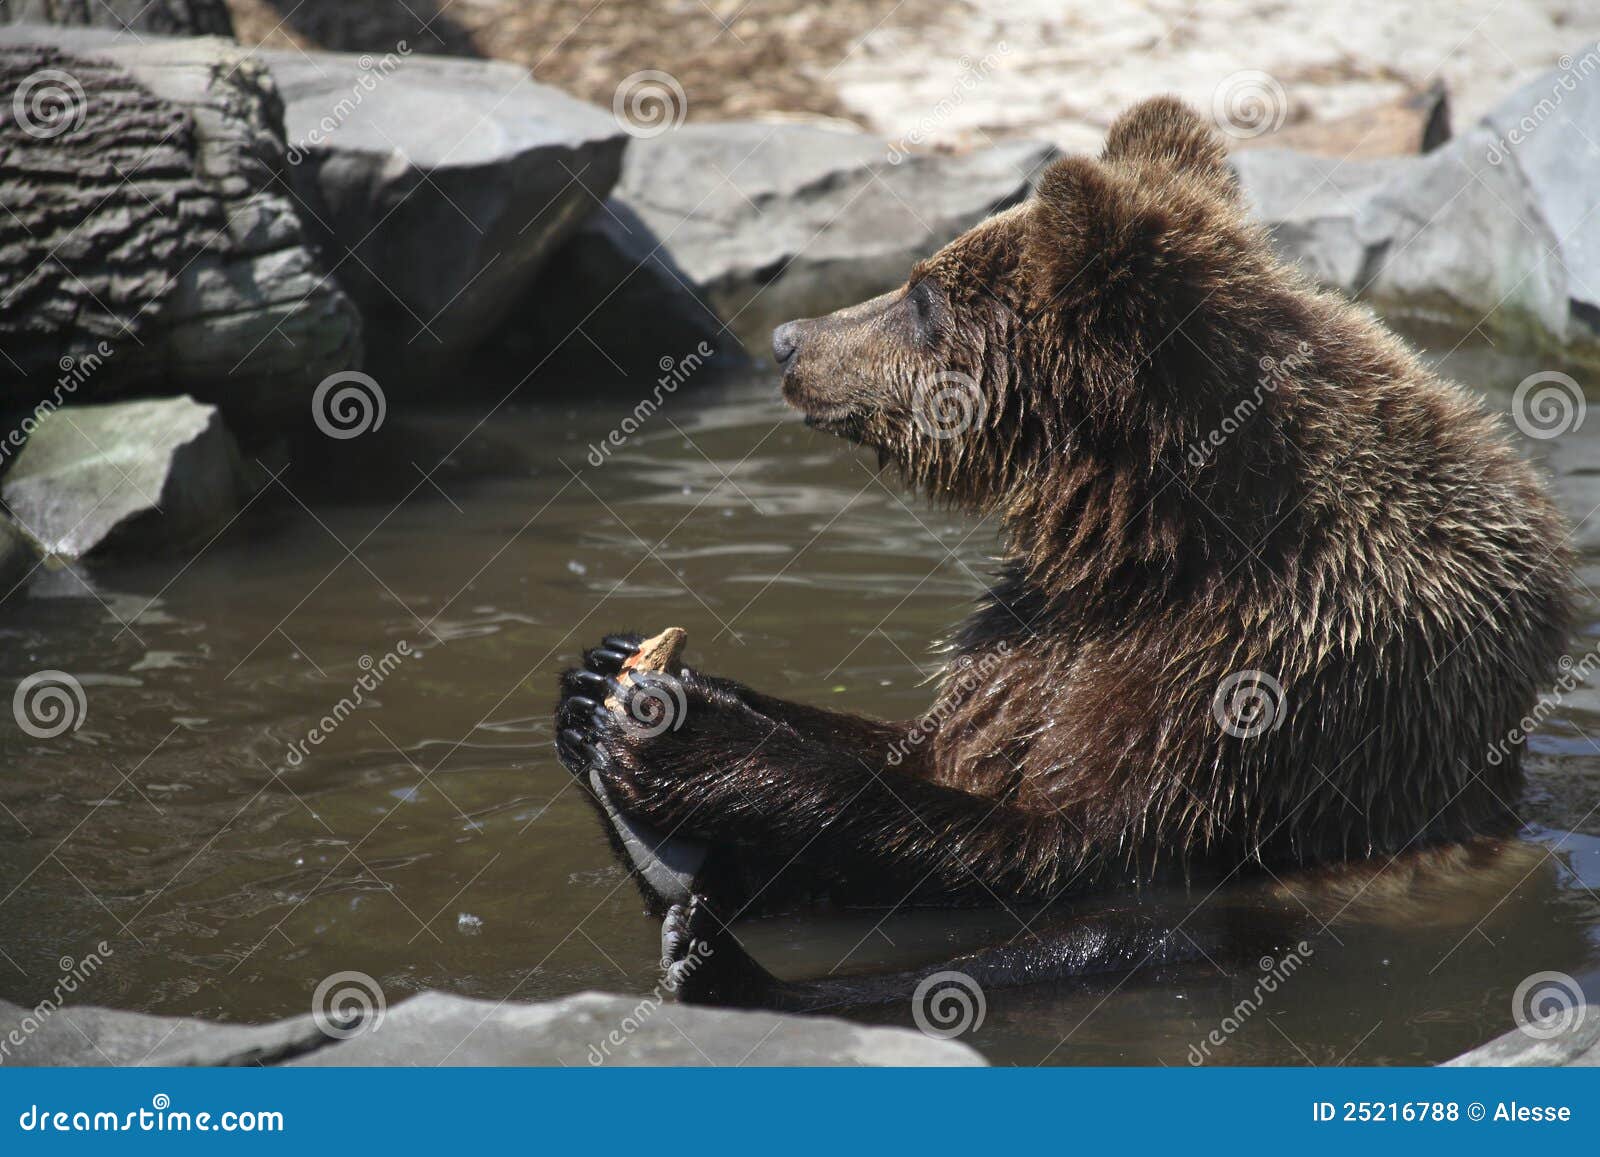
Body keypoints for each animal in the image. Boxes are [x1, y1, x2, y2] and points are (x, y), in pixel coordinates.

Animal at [555, 96, 1573, 1011]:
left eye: (922, 296)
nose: (787, 340)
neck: (1147, 533)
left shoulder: (1281, 662)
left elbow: (1084, 844)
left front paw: (689, 737)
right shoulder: (1036, 630)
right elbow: (943, 743)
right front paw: (609, 677)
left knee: (1132, 937)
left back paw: (728, 962)